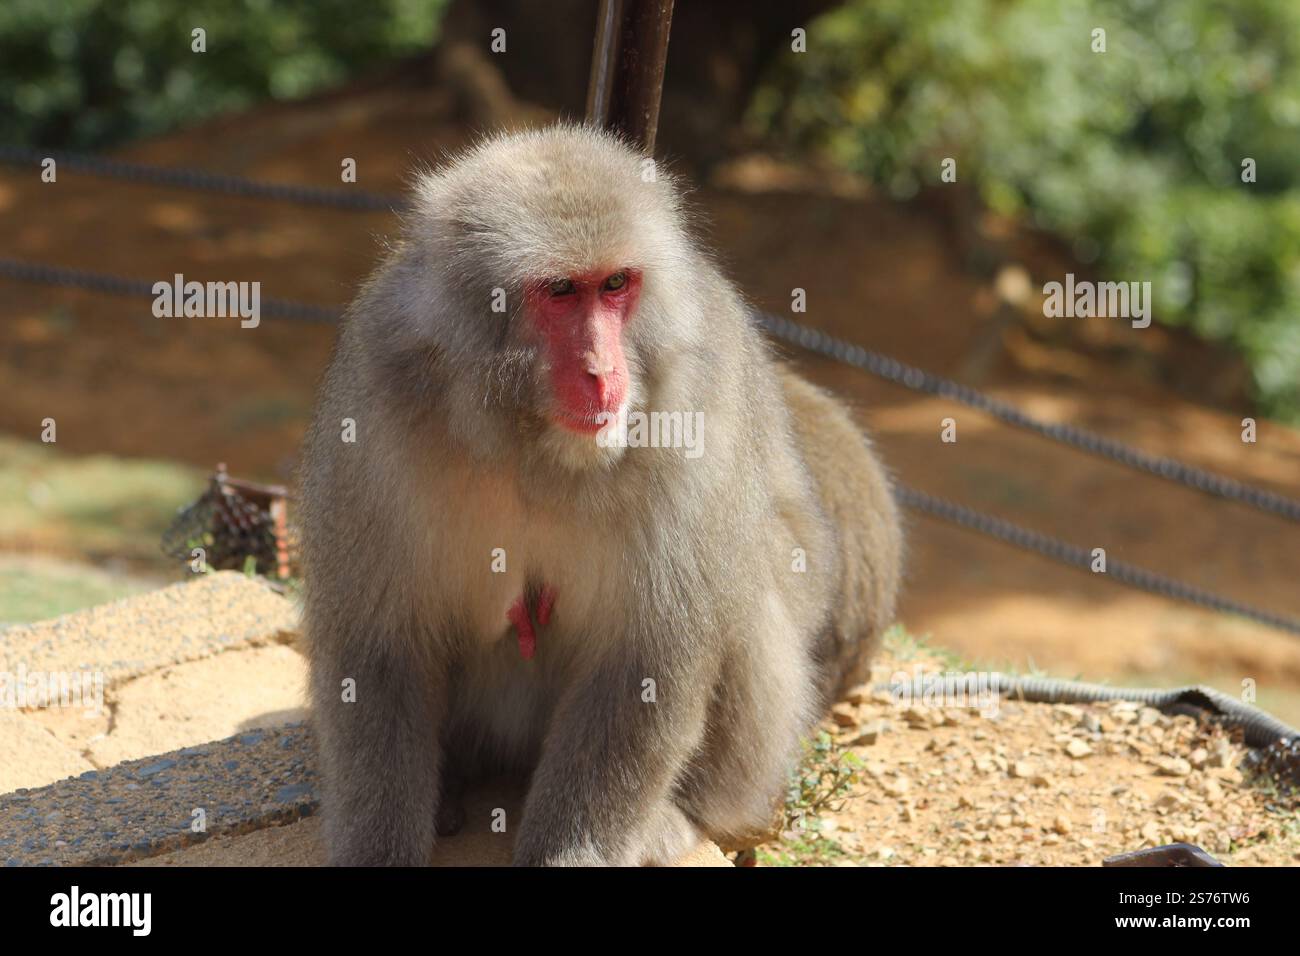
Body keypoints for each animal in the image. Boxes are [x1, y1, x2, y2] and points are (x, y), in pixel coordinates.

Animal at [298, 124, 902, 866]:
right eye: (560, 291)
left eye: (616, 284)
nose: (602, 373)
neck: (529, 442)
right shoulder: (375, 397)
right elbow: (376, 648)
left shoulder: (697, 403)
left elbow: (647, 658)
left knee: (747, 579)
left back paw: (686, 814)